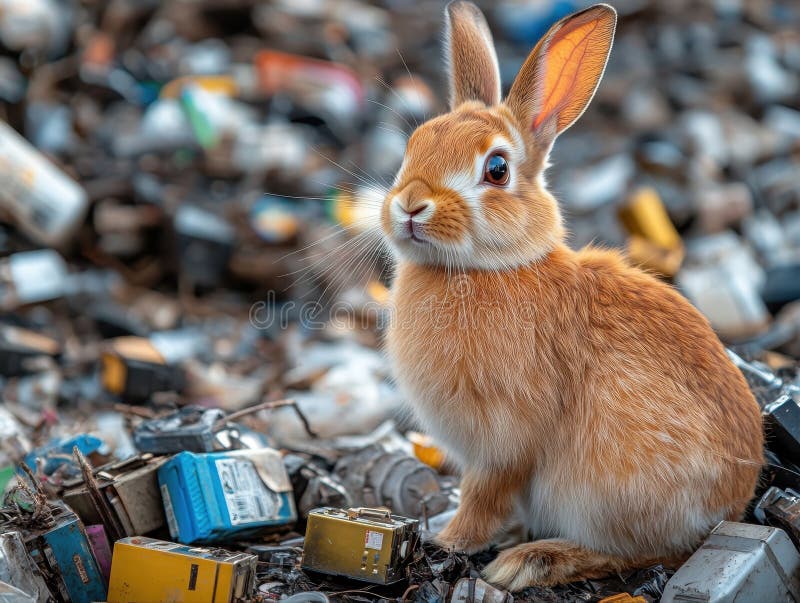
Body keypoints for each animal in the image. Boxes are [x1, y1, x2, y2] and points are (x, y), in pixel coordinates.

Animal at [379, 1, 764, 590]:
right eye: (413, 144)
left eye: (497, 169)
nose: (410, 205)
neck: (487, 268)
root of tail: (729, 508)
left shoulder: (503, 441)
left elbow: (483, 494)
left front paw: (450, 540)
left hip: (609, 489)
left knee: (646, 552)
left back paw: (532, 561)